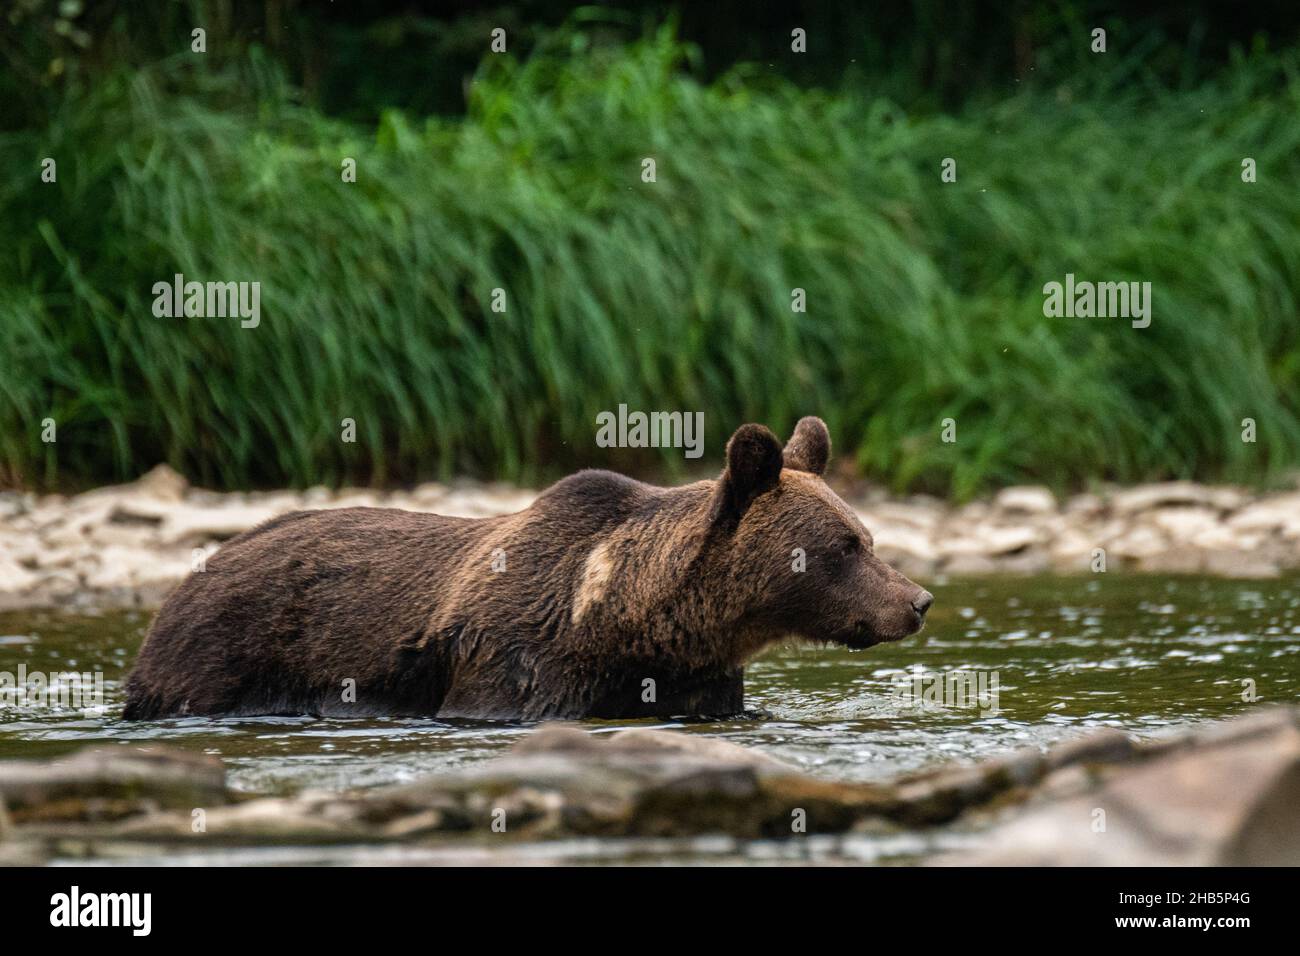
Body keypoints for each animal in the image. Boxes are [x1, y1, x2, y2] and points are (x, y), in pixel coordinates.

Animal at [122, 417, 933, 721]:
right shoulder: (518, 659)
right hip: (223, 652)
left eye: (867, 535)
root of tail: (191, 575)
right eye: (846, 547)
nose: (918, 600)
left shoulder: (695, 674)